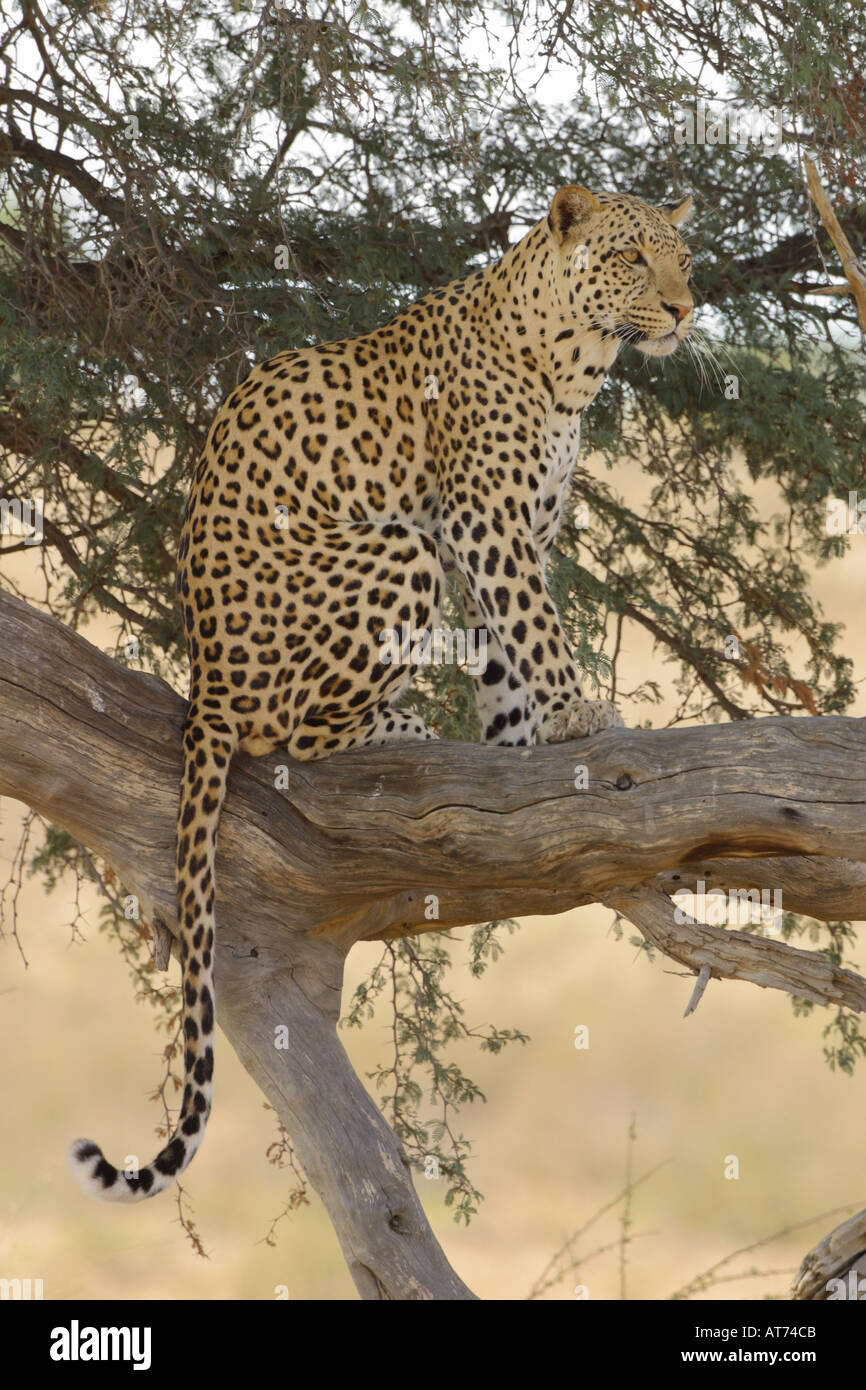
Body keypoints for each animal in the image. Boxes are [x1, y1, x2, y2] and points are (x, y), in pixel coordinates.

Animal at [69, 184, 694, 1200]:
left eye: (683, 258)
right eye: (632, 258)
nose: (684, 309)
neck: (576, 364)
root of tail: (204, 681)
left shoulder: (511, 533)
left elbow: (501, 648)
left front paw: (515, 745)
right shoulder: (486, 521)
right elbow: (536, 625)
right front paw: (576, 716)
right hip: (394, 550)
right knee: (289, 734)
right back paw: (398, 727)